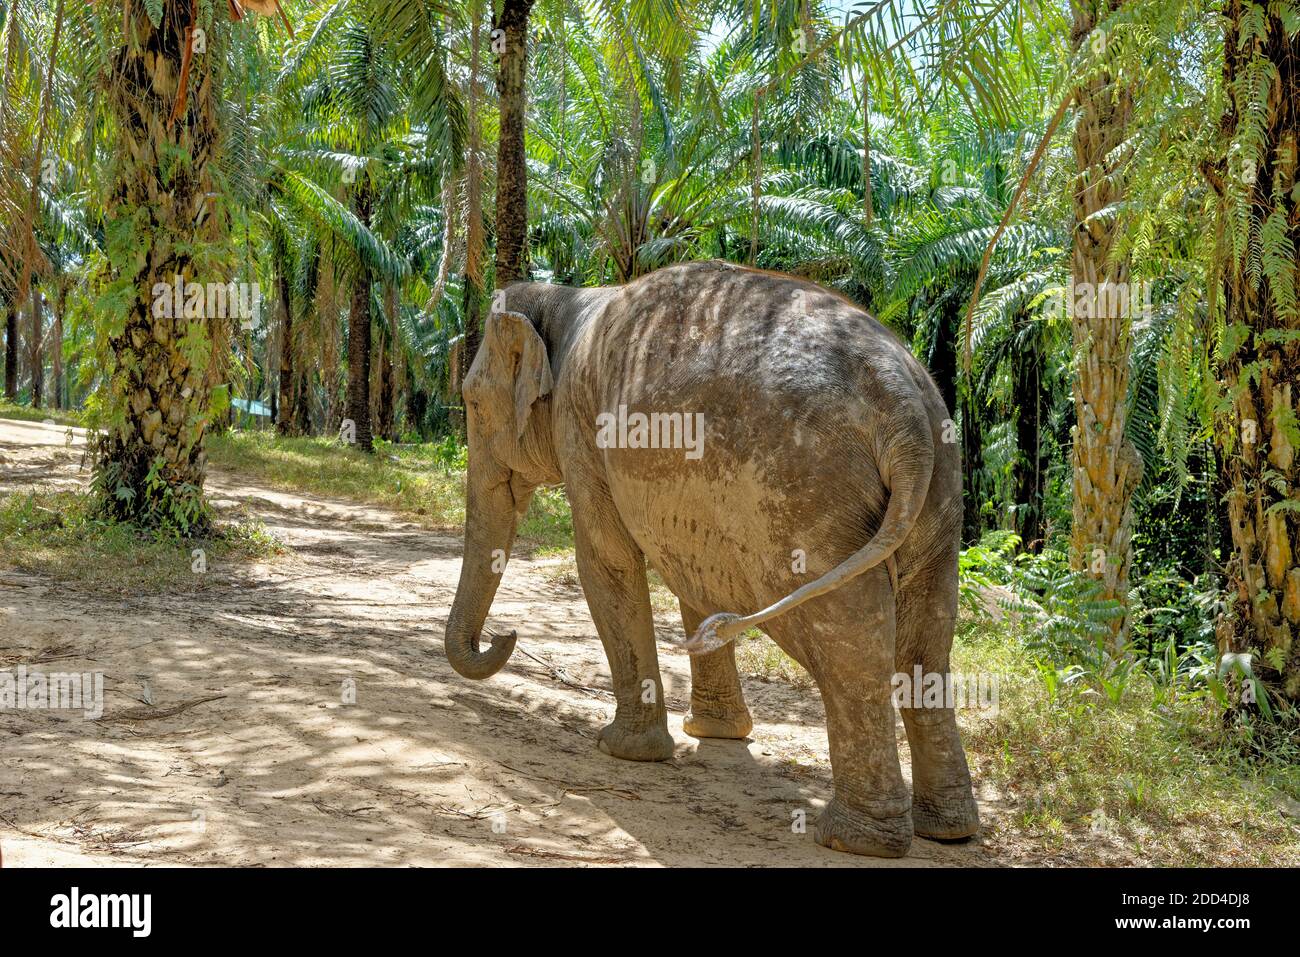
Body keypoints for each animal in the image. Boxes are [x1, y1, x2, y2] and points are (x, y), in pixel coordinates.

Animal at [443, 259, 980, 858]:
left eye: (472, 403)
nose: (504, 636)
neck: (564, 296)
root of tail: (903, 406)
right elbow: (691, 575)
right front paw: (714, 734)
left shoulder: (581, 431)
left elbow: (606, 562)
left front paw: (620, 748)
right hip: (940, 494)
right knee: (926, 638)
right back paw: (948, 830)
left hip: (808, 495)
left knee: (850, 634)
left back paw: (853, 839)